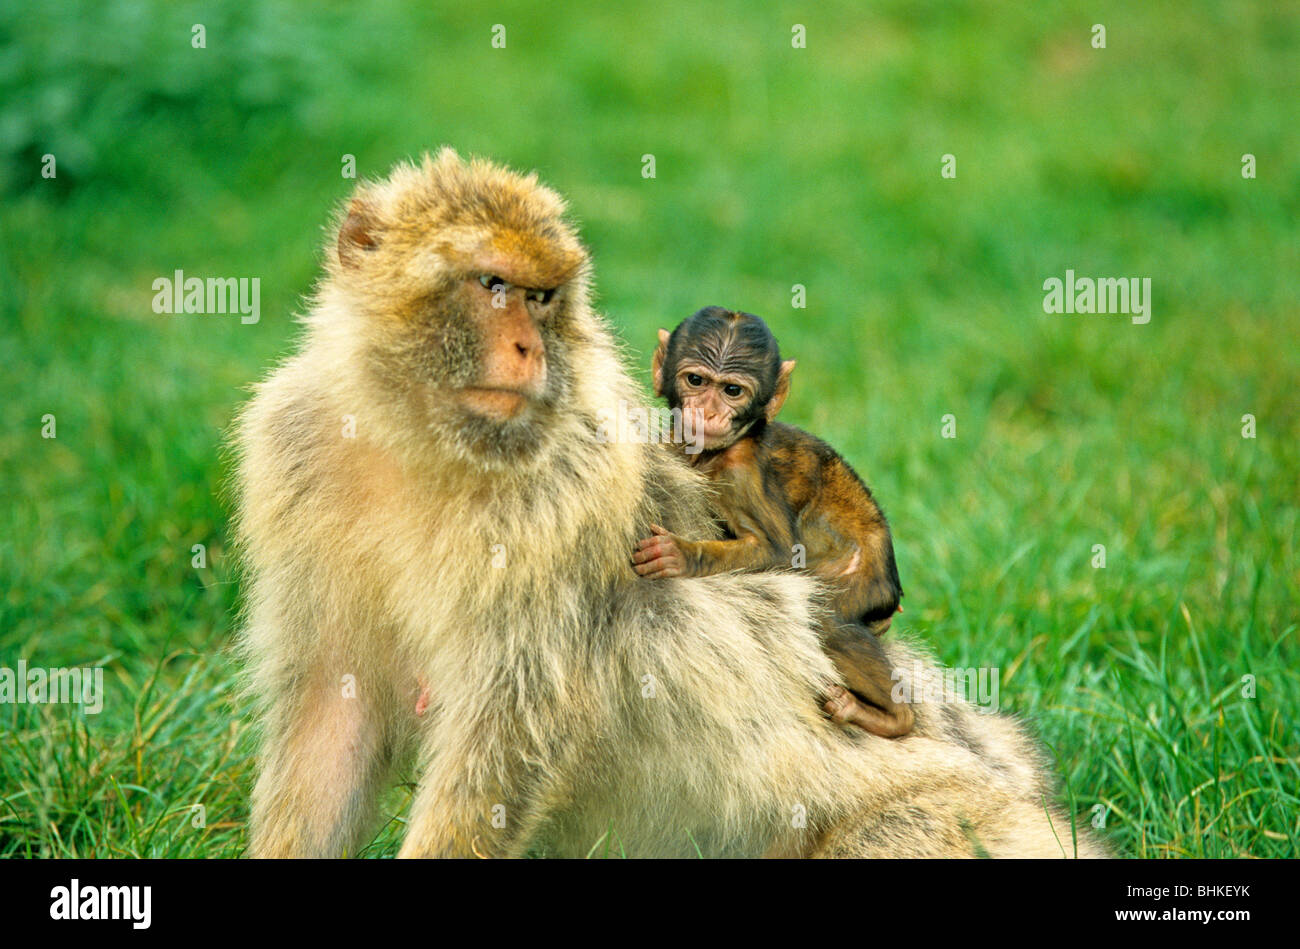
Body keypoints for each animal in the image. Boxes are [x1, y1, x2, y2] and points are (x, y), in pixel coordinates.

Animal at [631, 307, 911, 739]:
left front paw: (679, 555)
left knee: (827, 620)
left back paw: (894, 717)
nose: (708, 411)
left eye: (732, 391)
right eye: (696, 381)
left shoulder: (742, 472)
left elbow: (780, 552)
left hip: (863, 576)